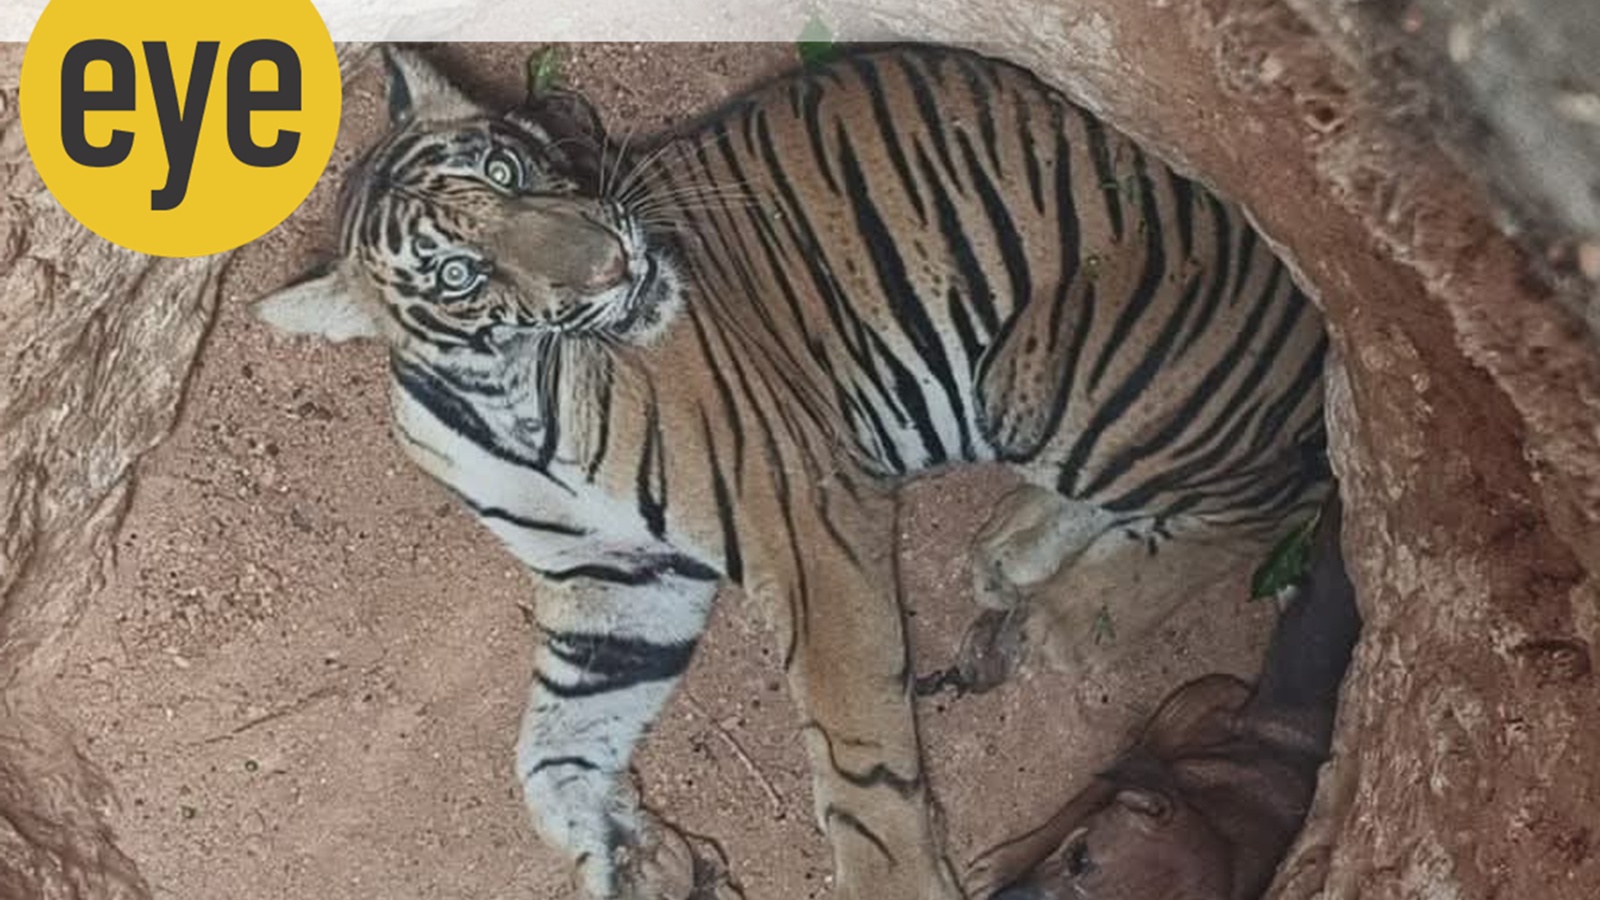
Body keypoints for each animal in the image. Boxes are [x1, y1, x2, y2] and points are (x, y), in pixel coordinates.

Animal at [254, 43, 1327, 900]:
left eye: (509, 167)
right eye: (458, 274)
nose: (614, 264)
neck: (513, 403)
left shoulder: (805, 521)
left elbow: (859, 754)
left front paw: (892, 883)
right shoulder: (614, 579)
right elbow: (549, 745)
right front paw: (625, 853)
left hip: (1060, 378)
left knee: (1279, 503)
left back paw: (1064, 616)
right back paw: (1016, 555)